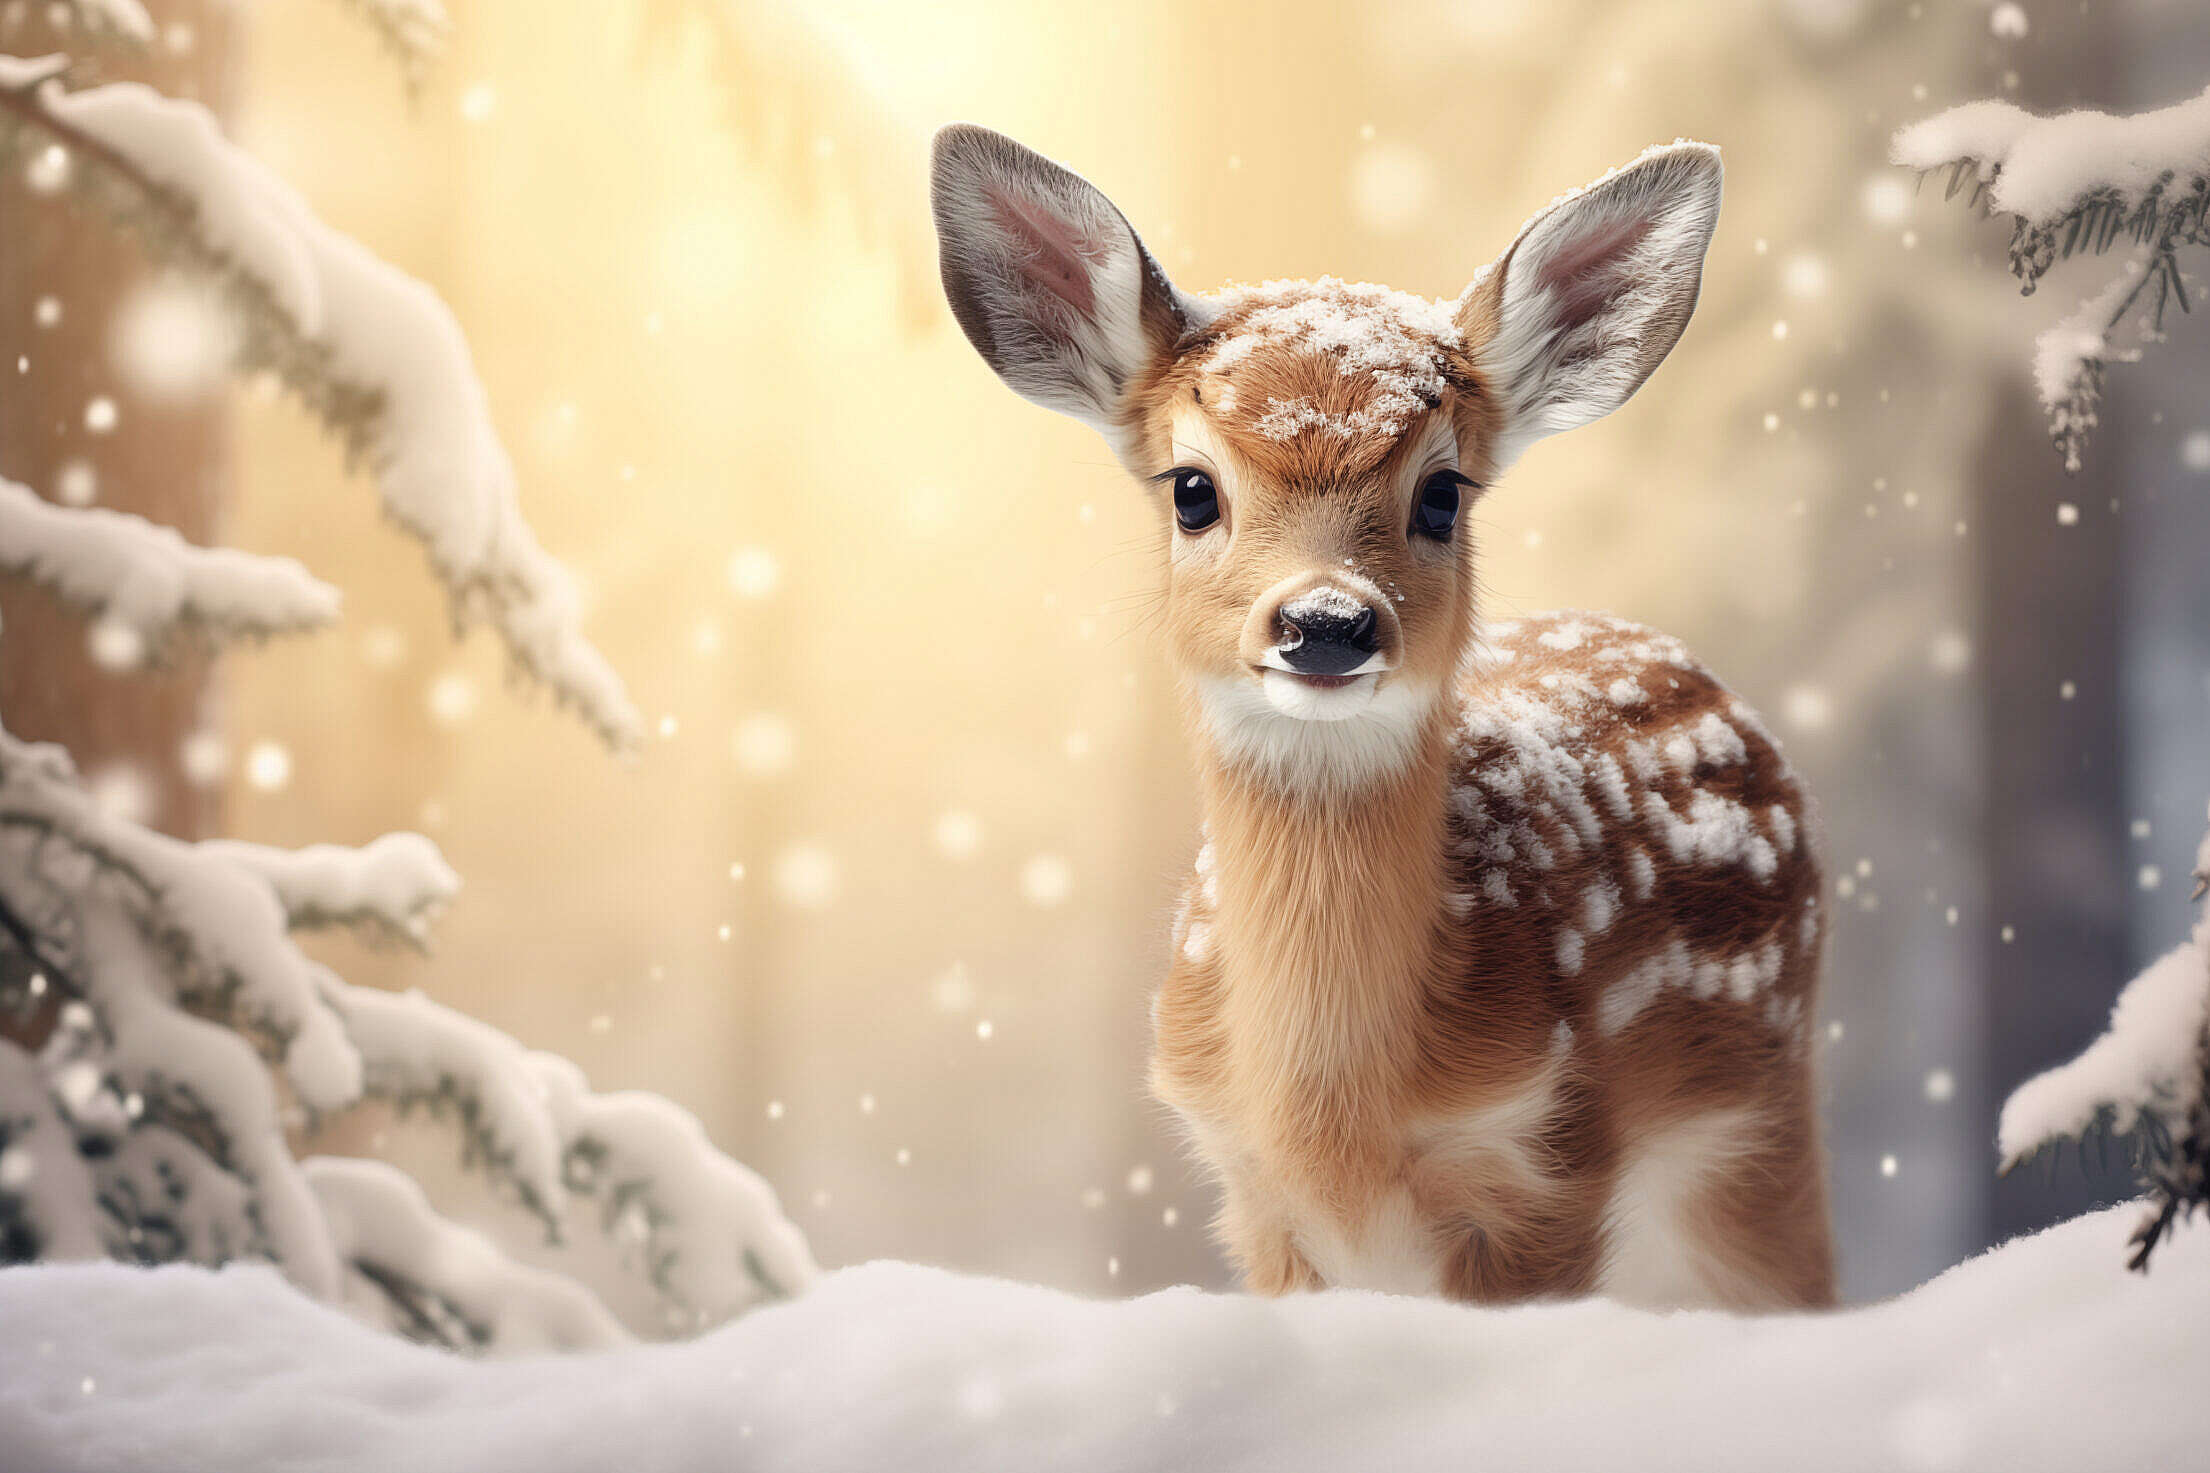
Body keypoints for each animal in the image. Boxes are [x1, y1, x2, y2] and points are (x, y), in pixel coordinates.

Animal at [929, 126, 1836, 1311]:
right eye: (1191, 489)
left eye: (1441, 494)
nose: (1324, 622)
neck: (1333, 1120)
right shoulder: (1253, 1196)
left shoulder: (1550, 1160)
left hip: (1759, 1126)